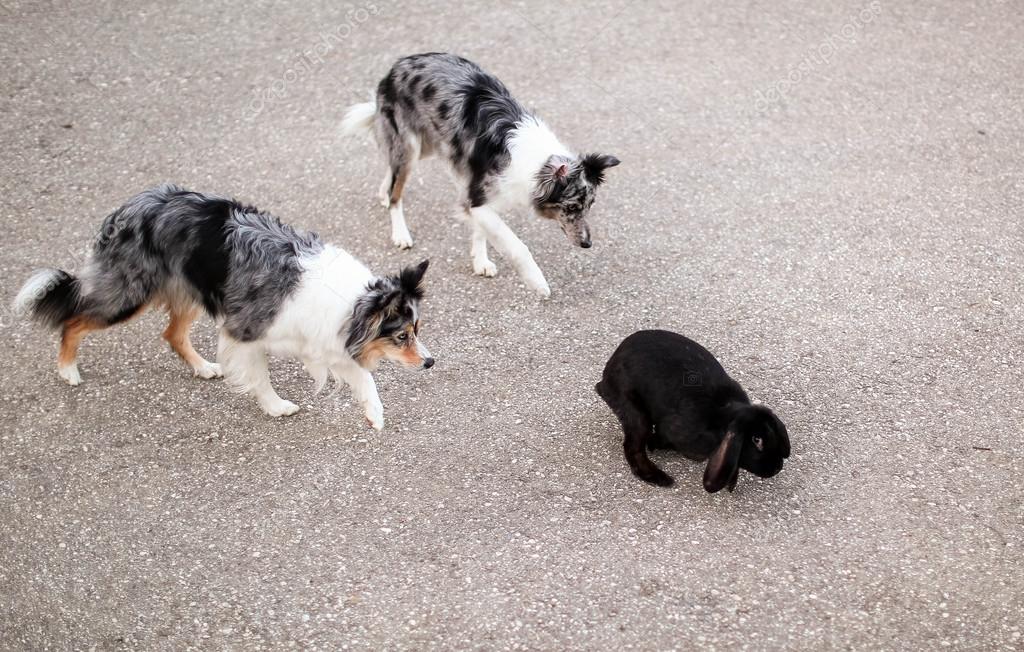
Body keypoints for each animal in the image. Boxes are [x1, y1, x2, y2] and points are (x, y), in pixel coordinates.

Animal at [595, 330, 790, 493]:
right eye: (757, 440)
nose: (777, 467)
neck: (722, 418)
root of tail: (604, 378)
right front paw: (655, 445)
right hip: (636, 414)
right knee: (633, 447)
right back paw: (659, 478)